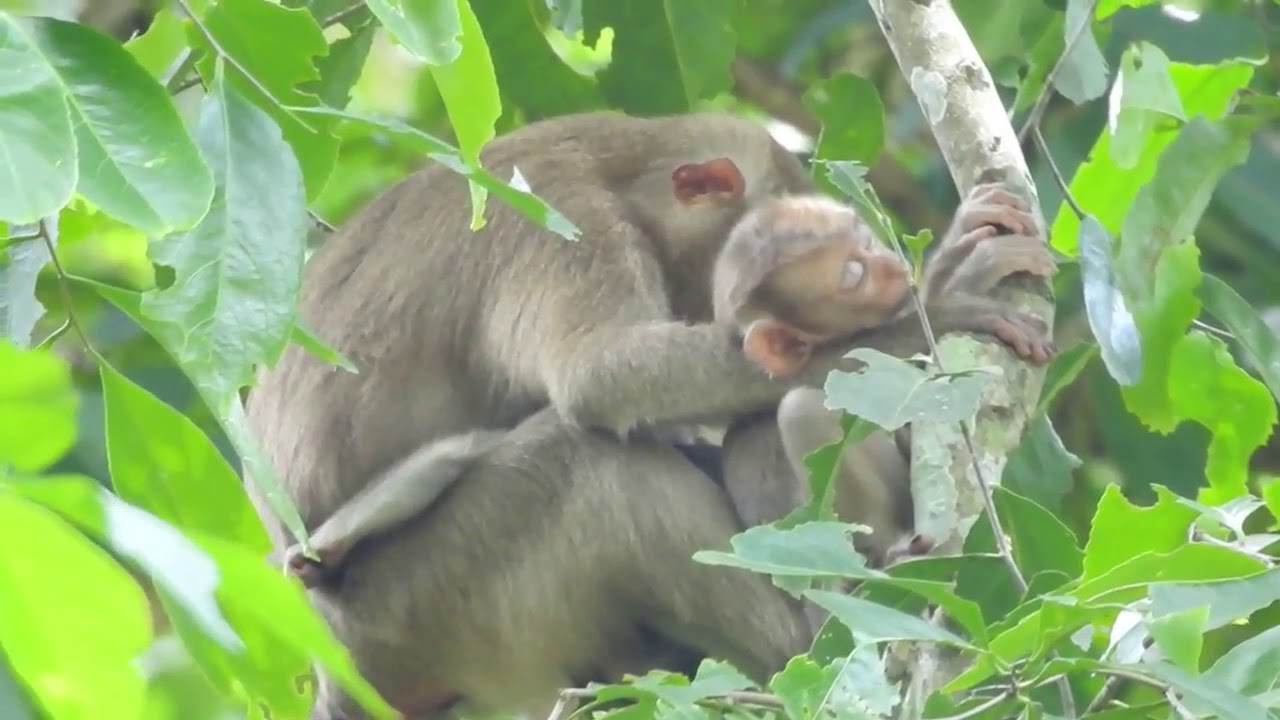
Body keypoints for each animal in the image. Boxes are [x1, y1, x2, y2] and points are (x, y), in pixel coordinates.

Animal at [243, 110, 1056, 719]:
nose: (730, 323)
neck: (619, 175)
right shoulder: (562, 217)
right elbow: (602, 378)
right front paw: (937, 300)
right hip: (418, 609)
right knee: (595, 470)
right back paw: (812, 638)